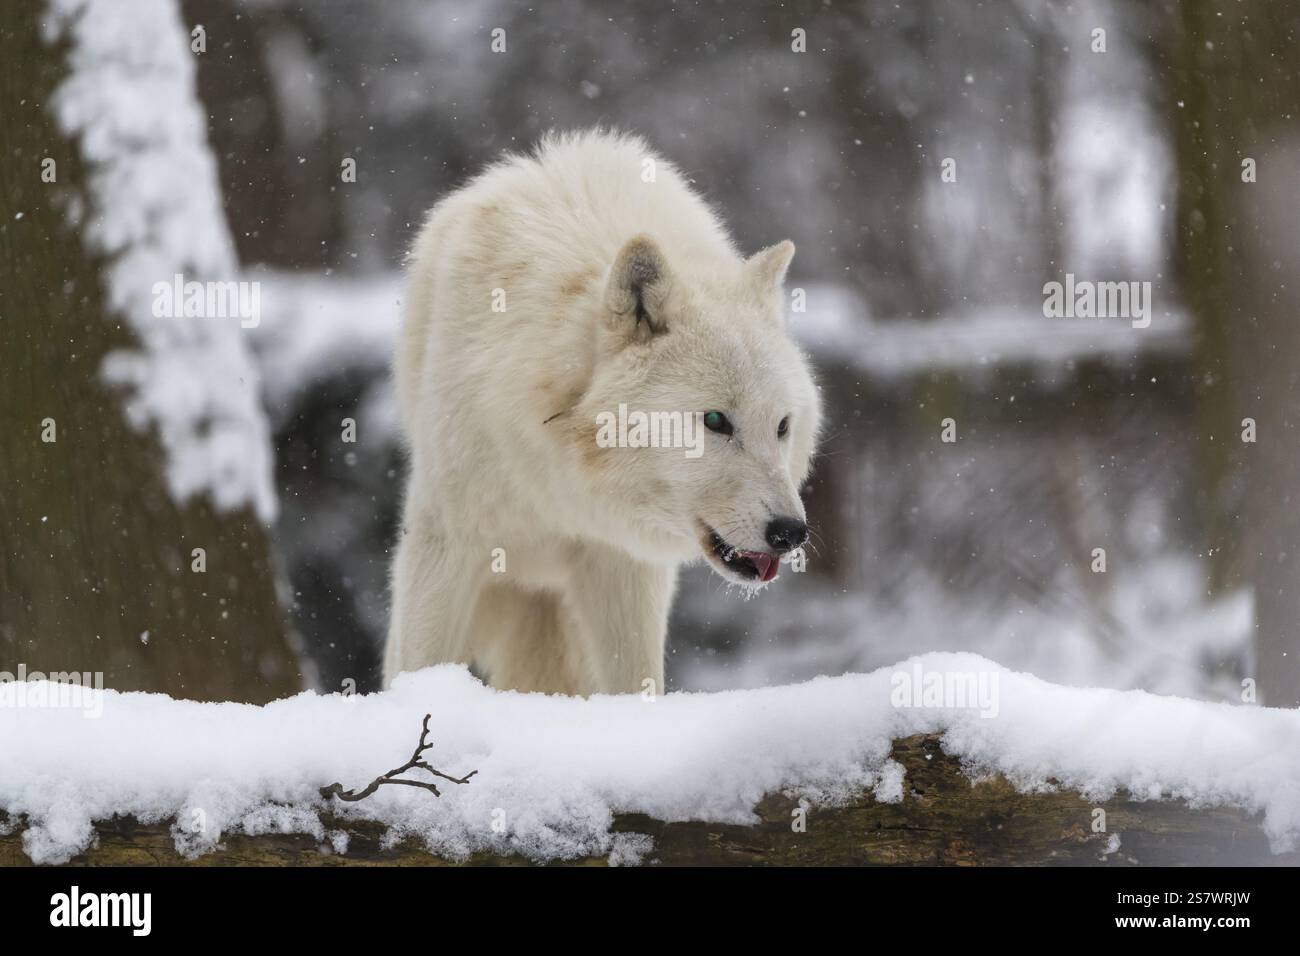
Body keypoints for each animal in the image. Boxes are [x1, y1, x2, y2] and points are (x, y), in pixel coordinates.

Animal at [384, 129, 821, 696]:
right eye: (716, 421)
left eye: (782, 427)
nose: (791, 532)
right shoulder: (446, 539)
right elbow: (416, 665)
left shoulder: (625, 564)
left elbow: (640, 684)